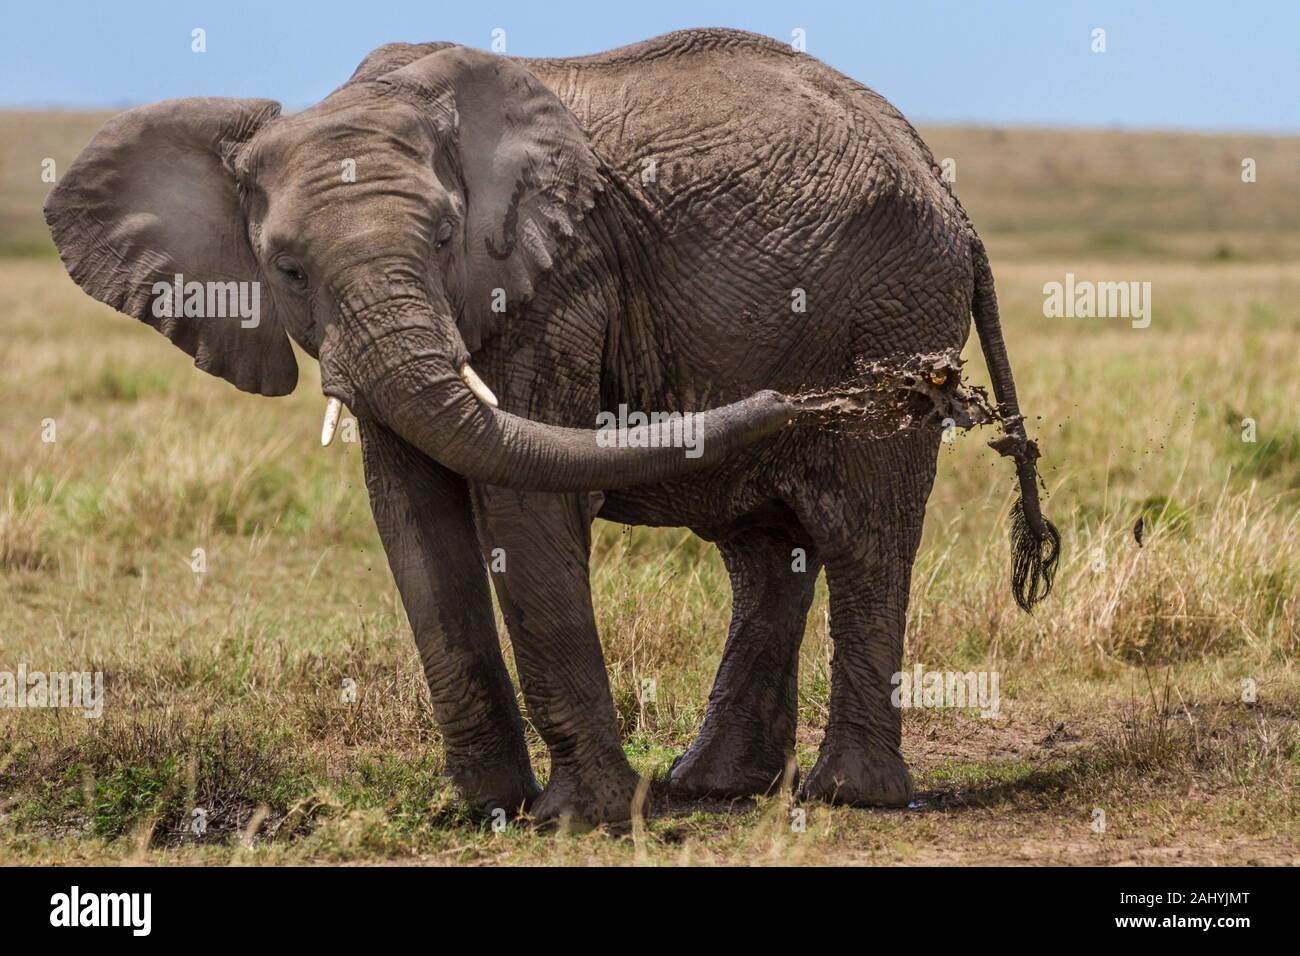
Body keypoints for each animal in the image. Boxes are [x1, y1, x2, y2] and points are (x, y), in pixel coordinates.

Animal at [45, 28, 1058, 826]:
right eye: (287, 269)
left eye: (446, 238)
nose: (793, 398)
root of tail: (951, 195)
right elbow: (412, 515)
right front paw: (484, 810)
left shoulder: (561, 280)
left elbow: (520, 510)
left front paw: (581, 820)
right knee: (767, 551)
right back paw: (712, 788)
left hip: (894, 298)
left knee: (863, 534)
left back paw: (846, 796)